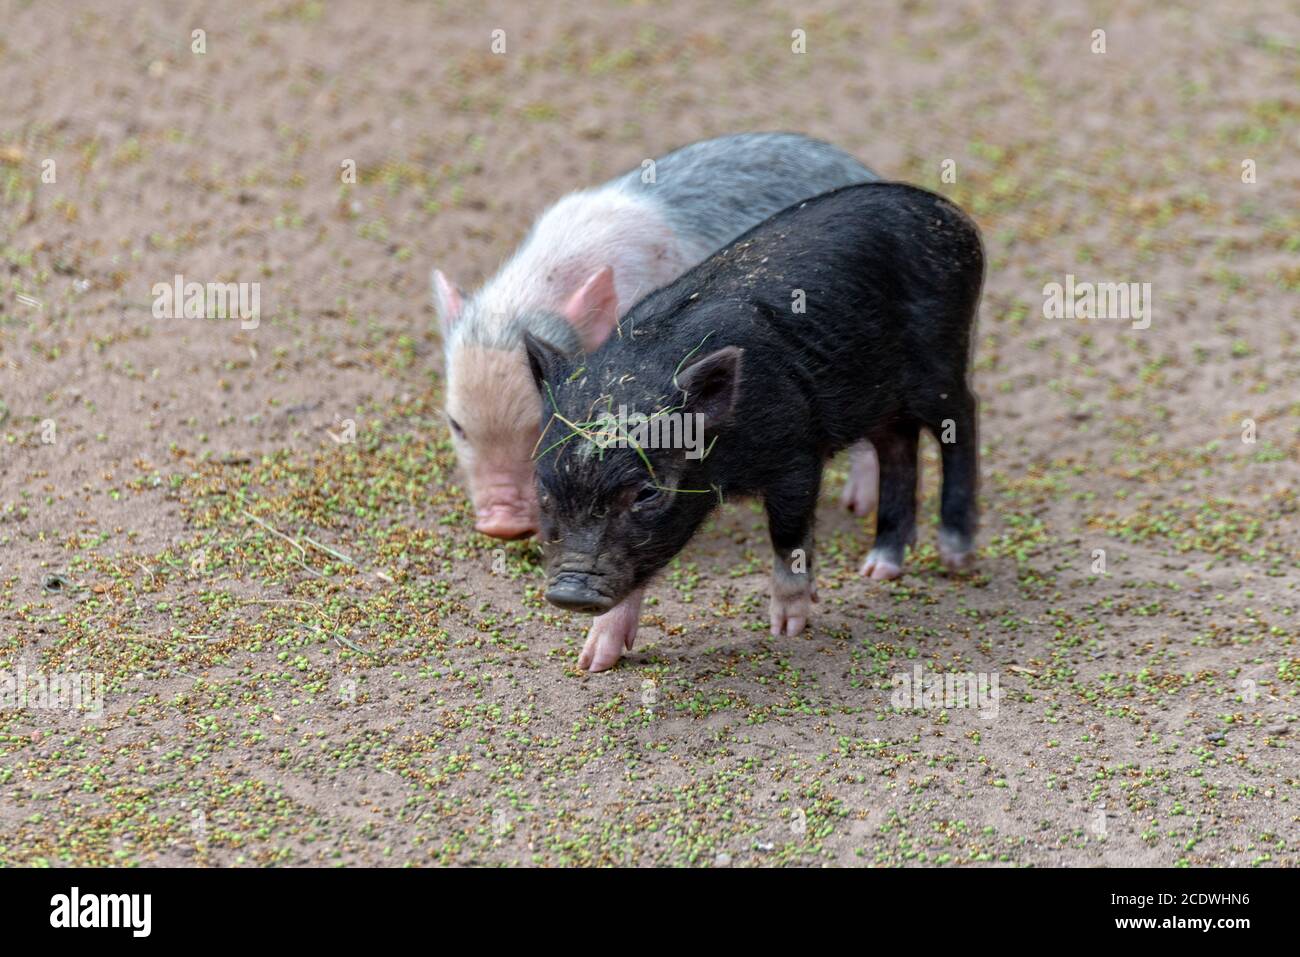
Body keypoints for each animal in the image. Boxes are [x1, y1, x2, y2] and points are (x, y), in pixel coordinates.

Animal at [525, 181, 984, 671]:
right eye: (544, 487)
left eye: (648, 492)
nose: (570, 593)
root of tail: (949, 211)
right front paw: (592, 661)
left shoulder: (797, 452)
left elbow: (788, 537)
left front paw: (787, 629)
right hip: (880, 399)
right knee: (898, 445)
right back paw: (878, 569)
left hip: (941, 359)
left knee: (962, 418)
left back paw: (955, 556)